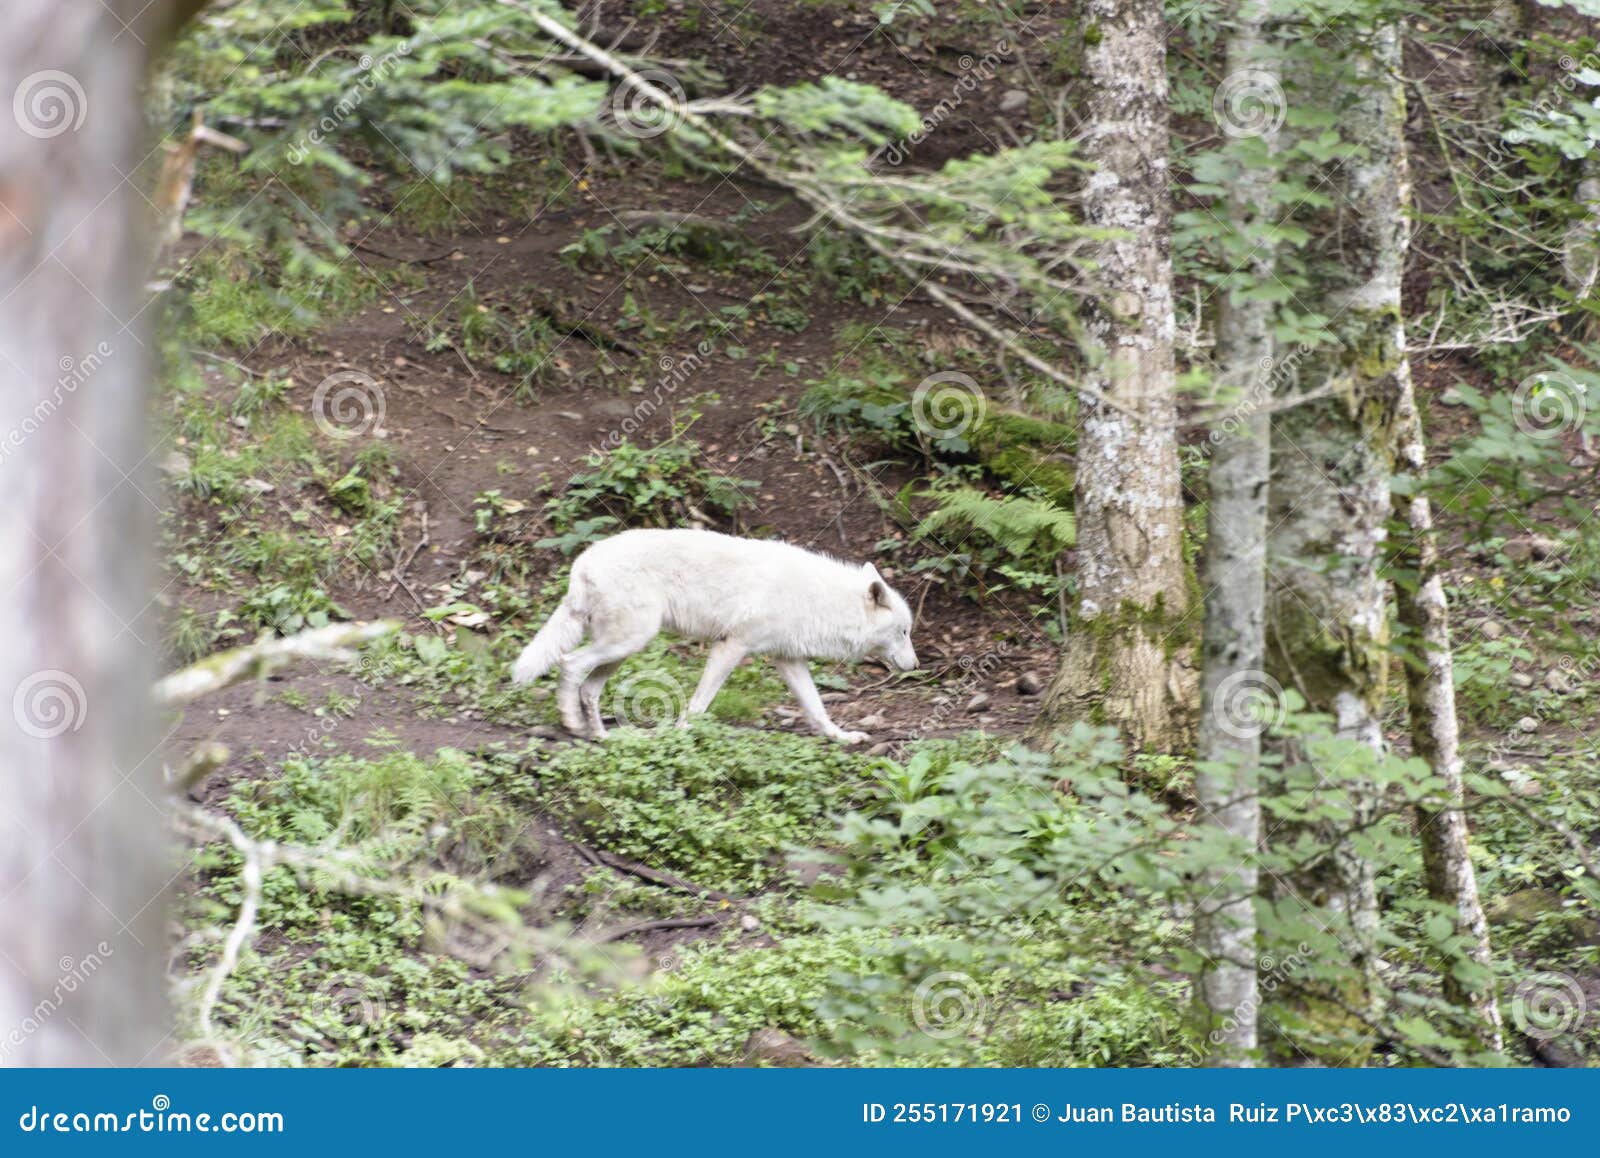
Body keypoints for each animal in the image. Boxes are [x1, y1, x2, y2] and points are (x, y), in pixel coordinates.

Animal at [511, 528, 918, 743]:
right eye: (903, 631)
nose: (914, 666)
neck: (819, 600)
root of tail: (583, 562)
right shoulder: (731, 646)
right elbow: (698, 703)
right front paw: (681, 736)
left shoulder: (787, 659)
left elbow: (817, 709)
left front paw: (842, 737)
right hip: (627, 642)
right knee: (568, 663)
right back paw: (573, 724)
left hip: (624, 648)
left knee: (589, 687)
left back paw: (603, 737)